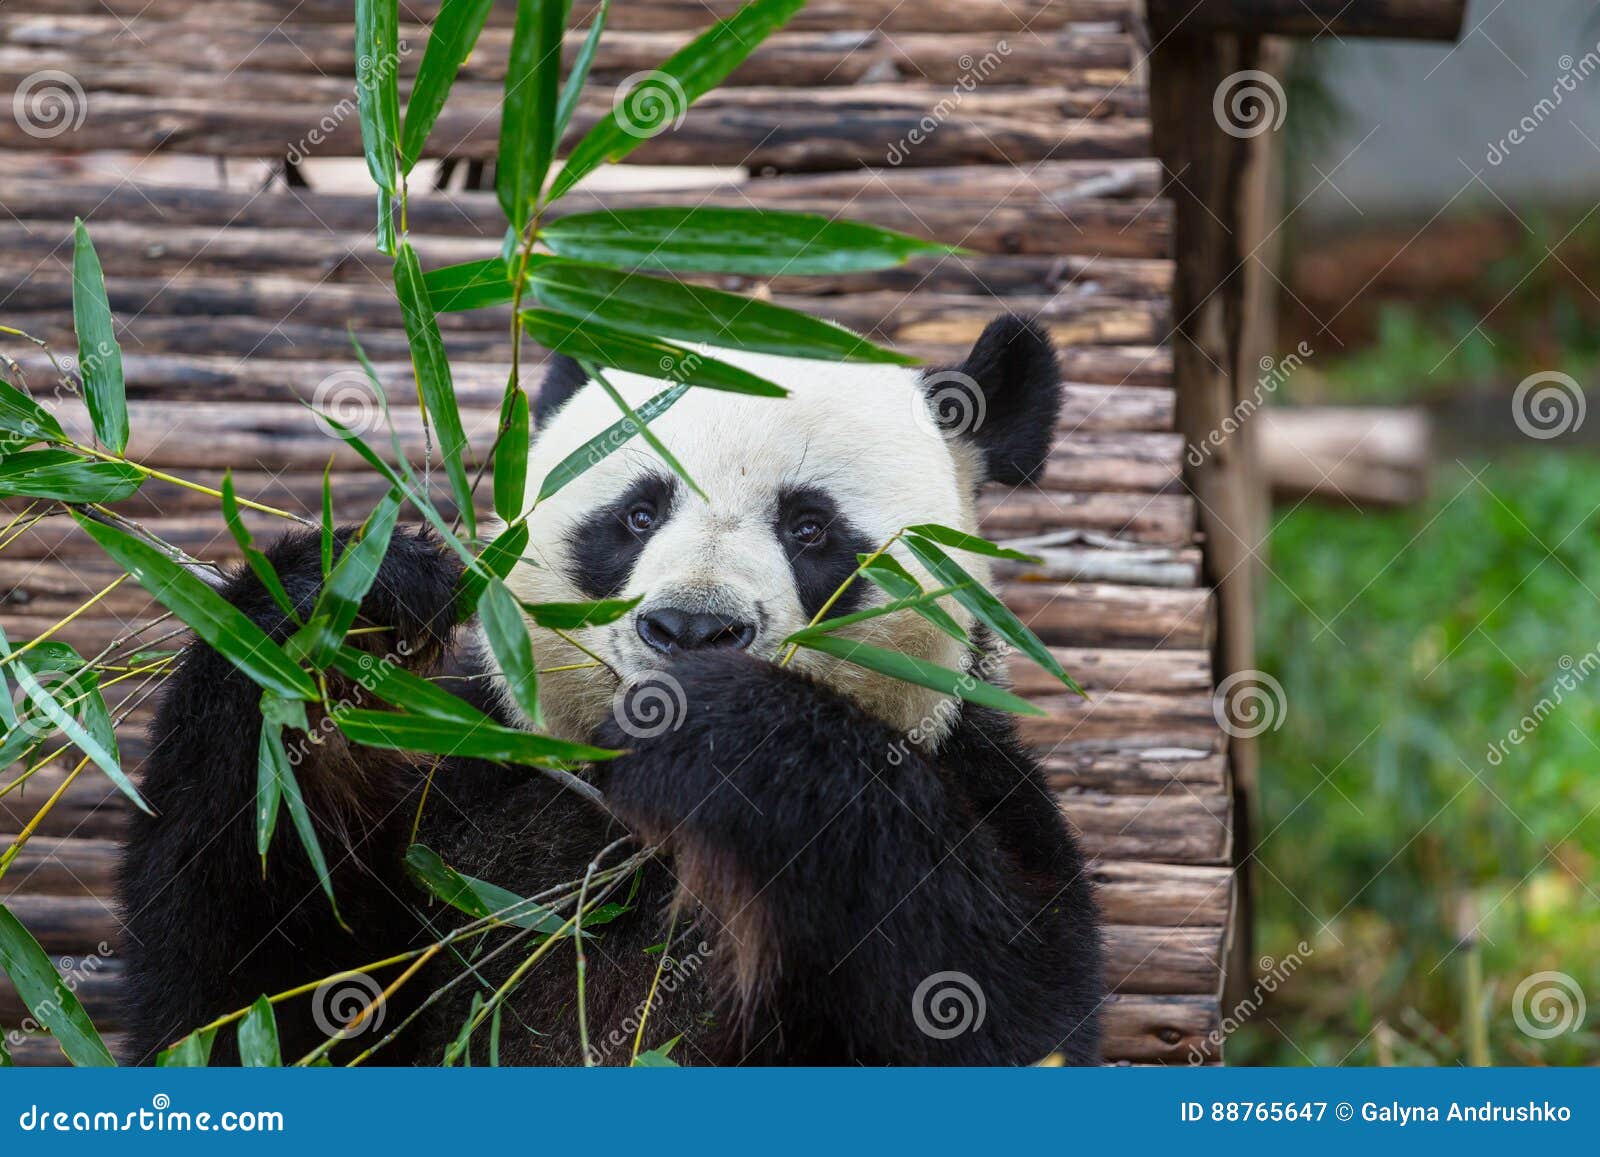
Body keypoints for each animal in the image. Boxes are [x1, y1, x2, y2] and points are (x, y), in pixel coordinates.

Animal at [117, 314, 1104, 1066]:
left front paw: (722, 724)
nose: (692, 631)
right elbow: (253, 991)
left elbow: (994, 1002)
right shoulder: (469, 787)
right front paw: (339, 603)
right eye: (636, 514)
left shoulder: (970, 772)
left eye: (811, 527)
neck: (635, 822)